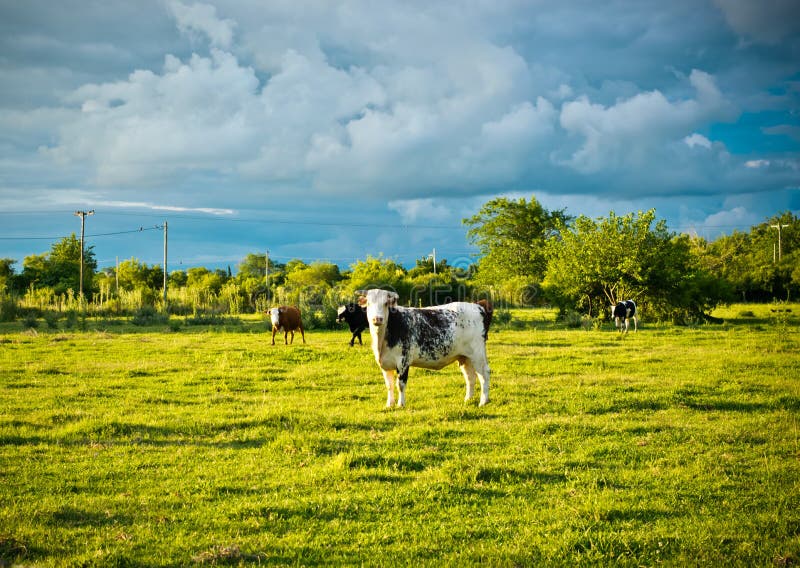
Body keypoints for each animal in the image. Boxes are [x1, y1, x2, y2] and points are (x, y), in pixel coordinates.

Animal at [357, 289, 492, 408]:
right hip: (465, 356)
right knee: (470, 377)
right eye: (368, 303)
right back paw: (467, 400)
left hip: (478, 354)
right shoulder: (385, 364)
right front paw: (389, 405)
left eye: (385, 303)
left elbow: (400, 384)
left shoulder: (403, 361)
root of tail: (477, 305)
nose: (377, 319)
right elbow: (389, 385)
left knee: (484, 375)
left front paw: (401, 404)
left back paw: (483, 402)